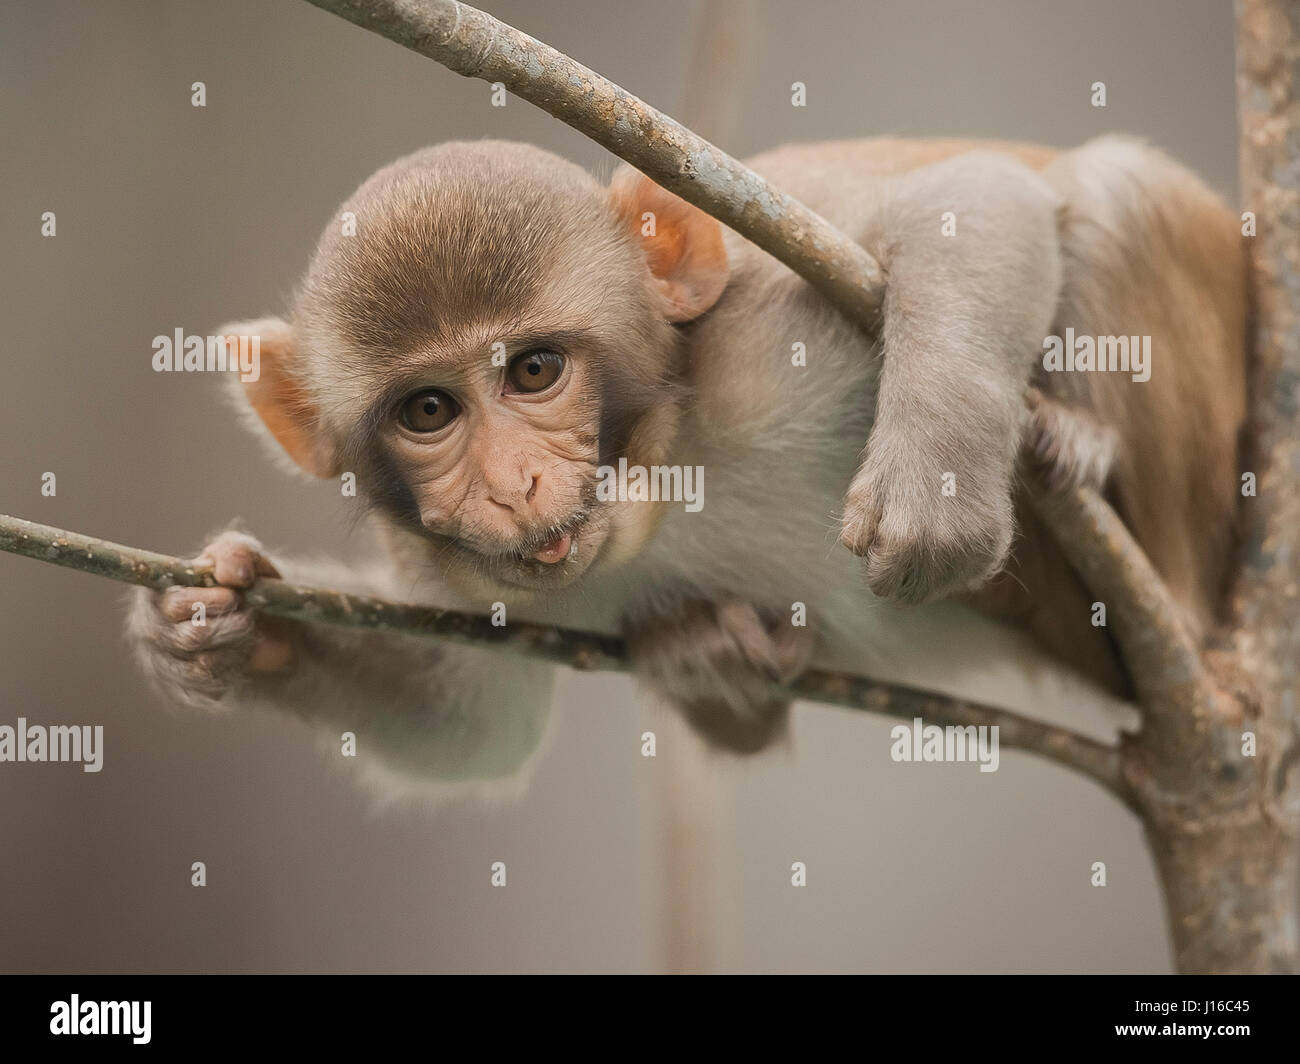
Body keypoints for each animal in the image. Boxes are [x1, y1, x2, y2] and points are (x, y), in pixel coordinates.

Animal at [128, 135, 1247, 789]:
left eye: (534, 370)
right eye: (429, 410)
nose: (512, 486)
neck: (670, 482)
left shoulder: (768, 322)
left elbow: (973, 198)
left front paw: (937, 491)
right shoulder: (444, 564)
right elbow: (478, 717)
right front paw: (226, 624)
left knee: (1111, 185)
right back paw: (707, 655)